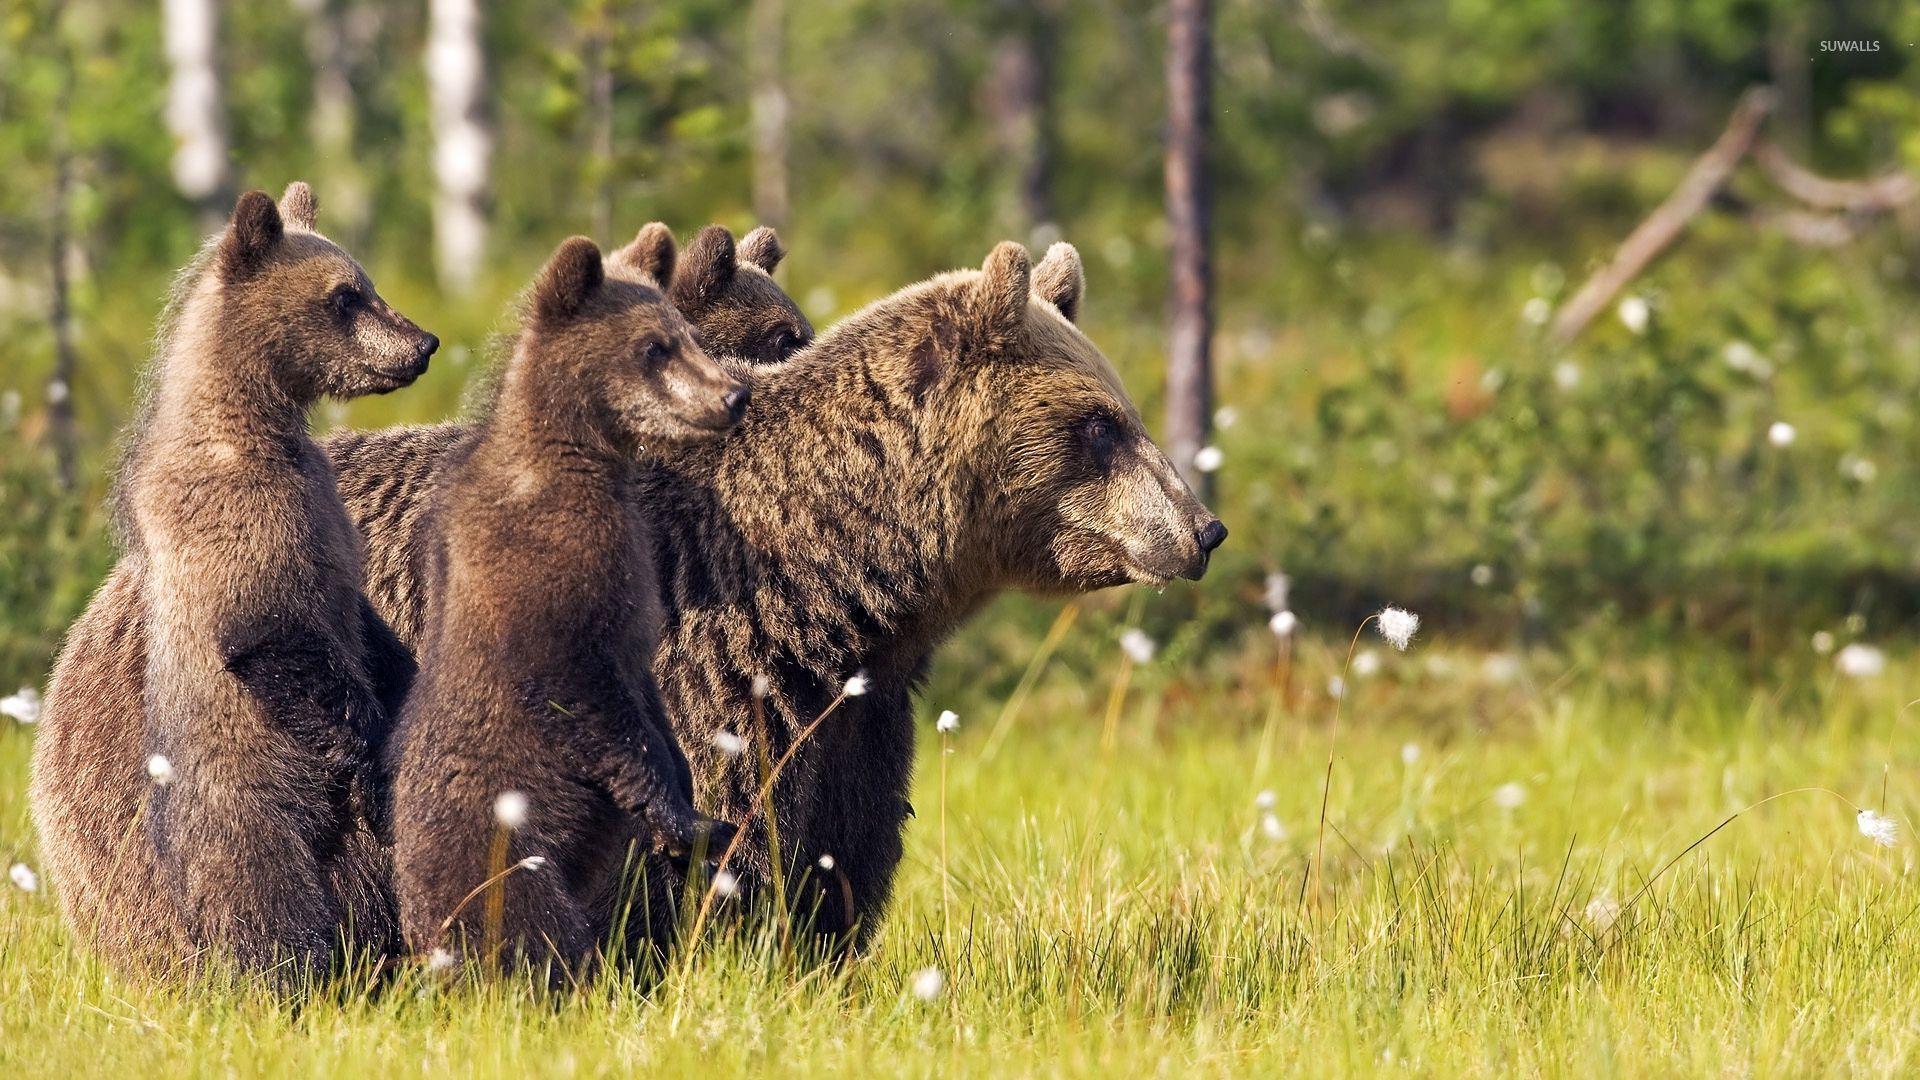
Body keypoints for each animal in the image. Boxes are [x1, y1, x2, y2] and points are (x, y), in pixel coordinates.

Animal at [28, 183, 437, 983]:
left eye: (366, 283)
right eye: (346, 296)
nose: (424, 341)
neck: (251, 422)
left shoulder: (327, 512)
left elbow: (364, 622)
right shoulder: (240, 522)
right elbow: (272, 635)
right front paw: (377, 759)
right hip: (245, 807)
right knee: (270, 904)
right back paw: (287, 973)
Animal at [388, 237, 741, 981]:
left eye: (690, 336)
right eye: (654, 347)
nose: (734, 394)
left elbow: (645, 694)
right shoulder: (548, 571)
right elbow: (583, 693)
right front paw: (691, 820)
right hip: (500, 854)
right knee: (532, 934)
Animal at [628, 240, 1225, 949]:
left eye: (1126, 414)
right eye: (1100, 426)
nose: (1204, 529)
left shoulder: (858, 725)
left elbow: (844, 852)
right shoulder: (718, 674)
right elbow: (727, 830)